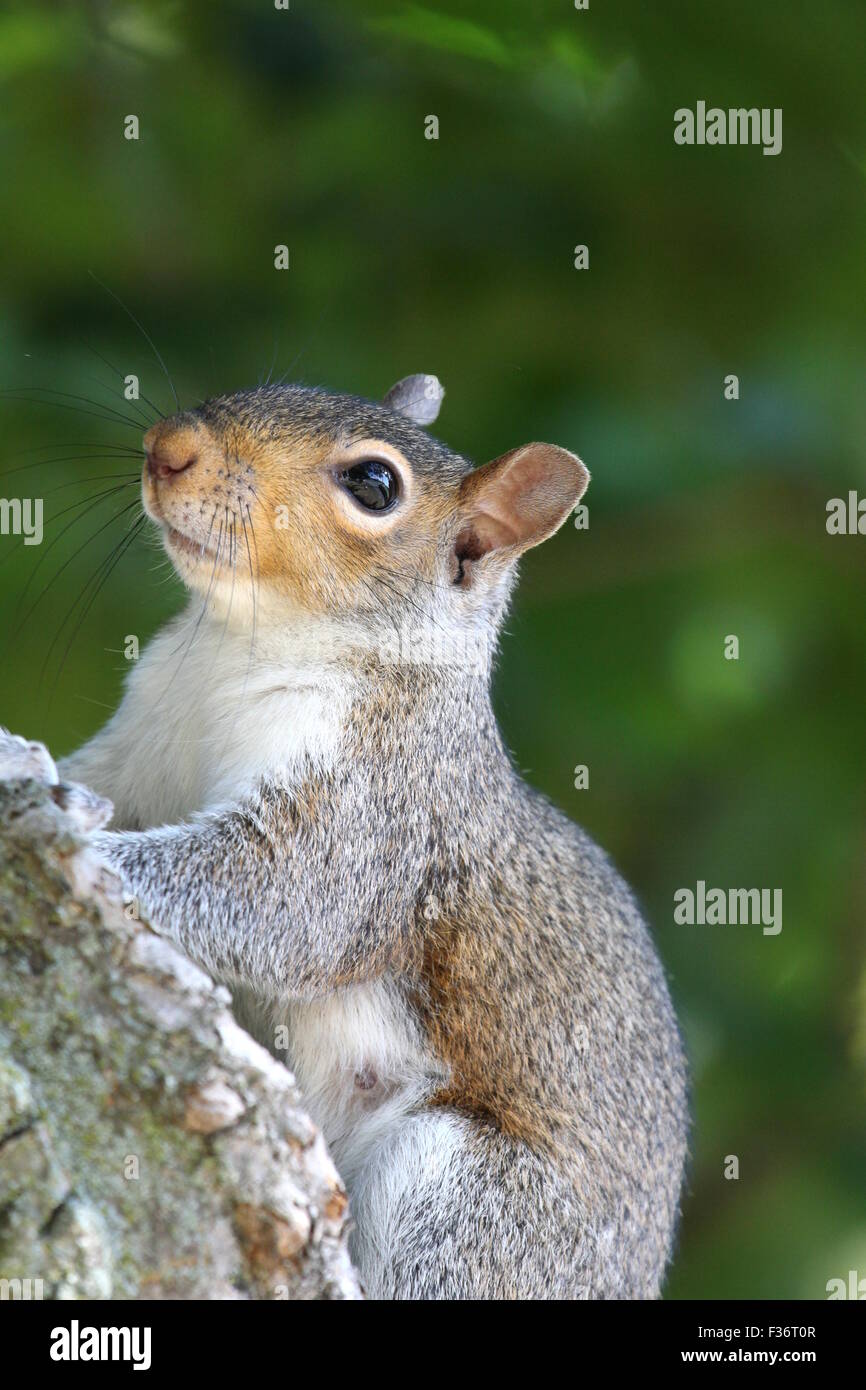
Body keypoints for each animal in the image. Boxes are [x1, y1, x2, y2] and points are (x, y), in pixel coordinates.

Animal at [10, 373, 688, 1299]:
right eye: (270, 381)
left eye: (374, 485)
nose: (168, 446)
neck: (239, 647)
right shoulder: (141, 740)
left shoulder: (377, 807)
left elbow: (285, 902)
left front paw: (54, 828)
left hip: (472, 1199)